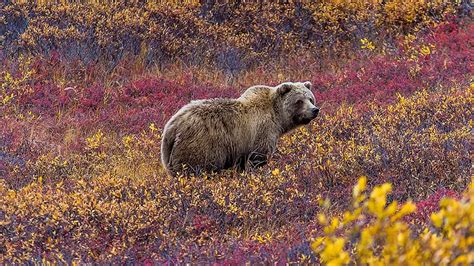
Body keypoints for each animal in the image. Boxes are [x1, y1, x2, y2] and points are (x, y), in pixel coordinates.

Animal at [161, 82, 320, 176]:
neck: (278, 117)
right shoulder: (262, 132)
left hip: (168, 154)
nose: (314, 110)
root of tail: (172, 126)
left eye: (311, 99)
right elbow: (258, 158)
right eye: (299, 101)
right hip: (200, 145)